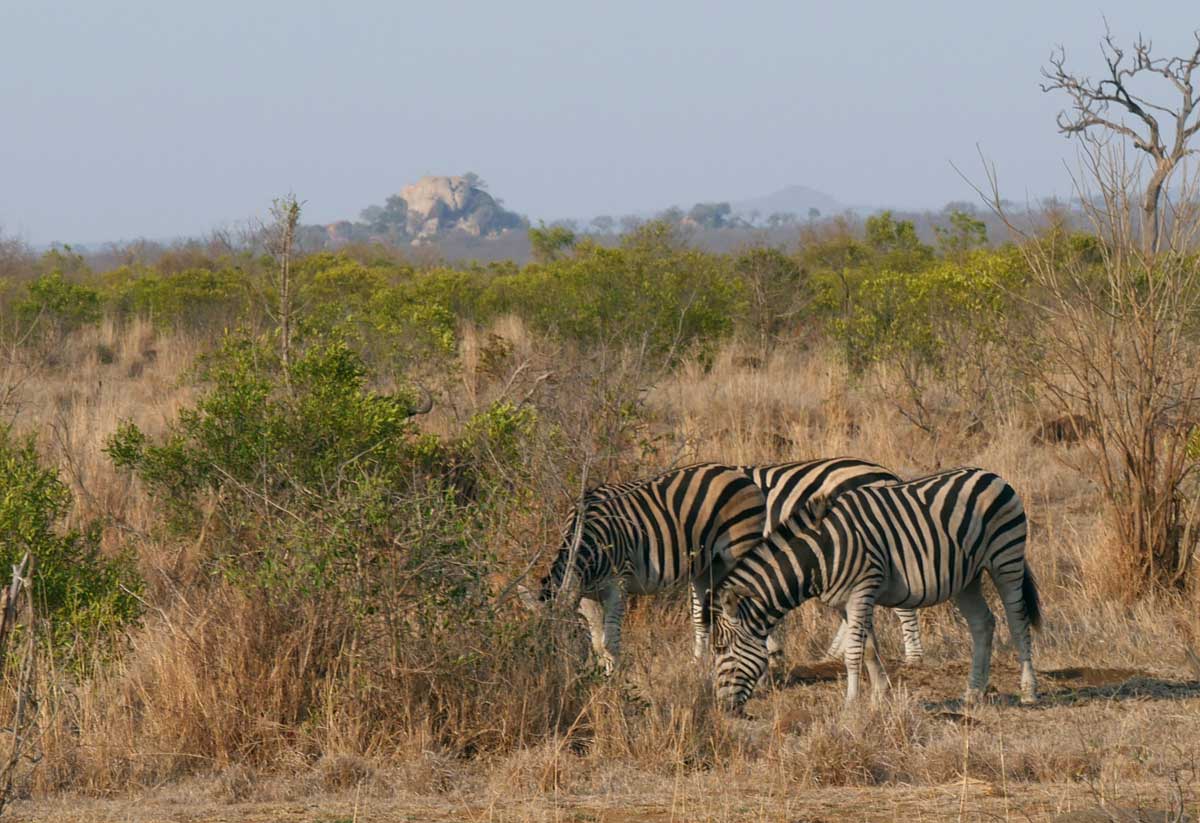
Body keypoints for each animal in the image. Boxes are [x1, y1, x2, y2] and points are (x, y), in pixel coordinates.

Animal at [520, 463, 767, 673]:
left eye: (565, 640)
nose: (556, 677)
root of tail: (737, 473)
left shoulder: (618, 584)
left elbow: (610, 640)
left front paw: (615, 680)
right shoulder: (586, 594)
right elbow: (597, 642)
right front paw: (602, 677)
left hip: (740, 548)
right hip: (706, 567)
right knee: (702, 617)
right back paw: (697, 666)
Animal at [690, 458, 925, 668]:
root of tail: (888, 474)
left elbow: (701, 610)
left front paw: (698, 661)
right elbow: (703, 608)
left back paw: (914, 657)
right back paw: (831, 655)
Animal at [710, 467, 1041, 709]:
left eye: (721, 648)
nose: (723, 708)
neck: (821, 553)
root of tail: (991, 475)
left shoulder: (862, 589)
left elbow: (853, 652)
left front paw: (851, 704)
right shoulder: (845, 601)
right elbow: (869, 649)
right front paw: (881, 696)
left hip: (1005, 558)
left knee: (1018, 622)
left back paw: (1028, 691)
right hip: (966, 577)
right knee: (983, 624)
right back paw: (974, 692)